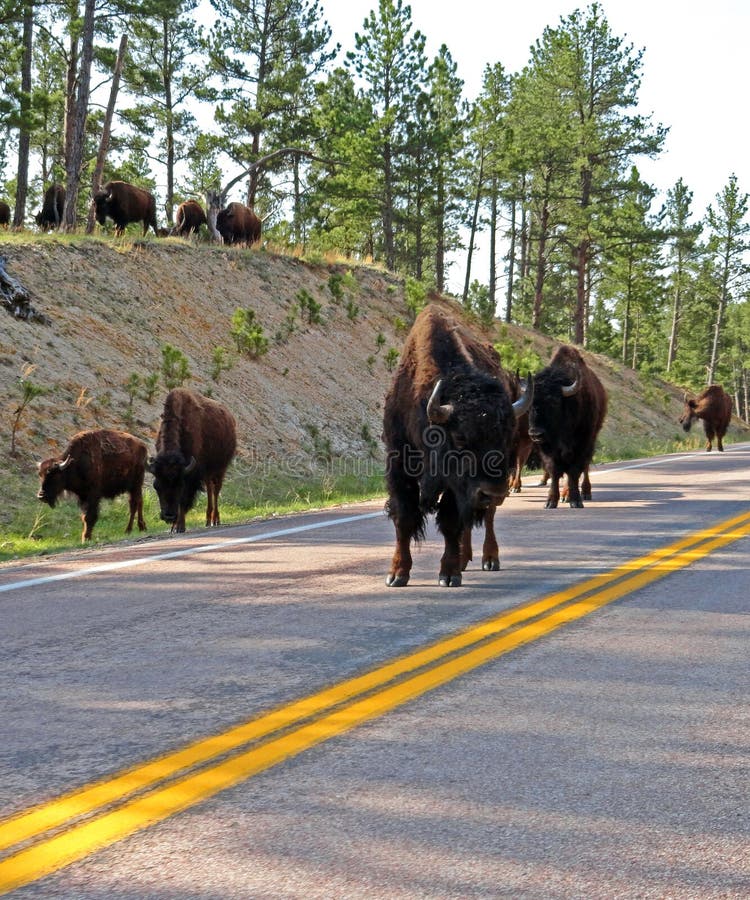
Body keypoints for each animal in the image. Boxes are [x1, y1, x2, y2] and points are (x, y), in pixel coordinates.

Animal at [147, 388, 237, 533]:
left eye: (180, 486)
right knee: (210, 489)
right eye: (156, 486)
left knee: (216, 490)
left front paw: (180, 527)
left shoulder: (190, 475)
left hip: (220, 468)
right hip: (208, 472)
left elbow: (183, 500)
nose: (168, 516)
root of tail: (230, 419)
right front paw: (174, 527)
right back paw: (208, 520)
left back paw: (215, 520)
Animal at [383, 303, 532, 587]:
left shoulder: (457, 485)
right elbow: (404, 518)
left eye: (506, 438)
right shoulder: (398, 466)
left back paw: (489, 559)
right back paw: (465, 558)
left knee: (487, 516)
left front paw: (449, 574)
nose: (493, 492)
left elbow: (451, 522)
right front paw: (397, 574)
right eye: (460, 438)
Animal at [528, 345, 607, 509]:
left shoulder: (581, 444)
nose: (535, 434)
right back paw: (565, 495)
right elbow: (554, 471)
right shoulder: (549, 450)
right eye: (530, 405)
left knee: (584, 468)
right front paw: (550, 502)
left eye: (554, 402)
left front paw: (576, 501)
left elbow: (574, 471)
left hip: (592, 439)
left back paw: (585, 492)